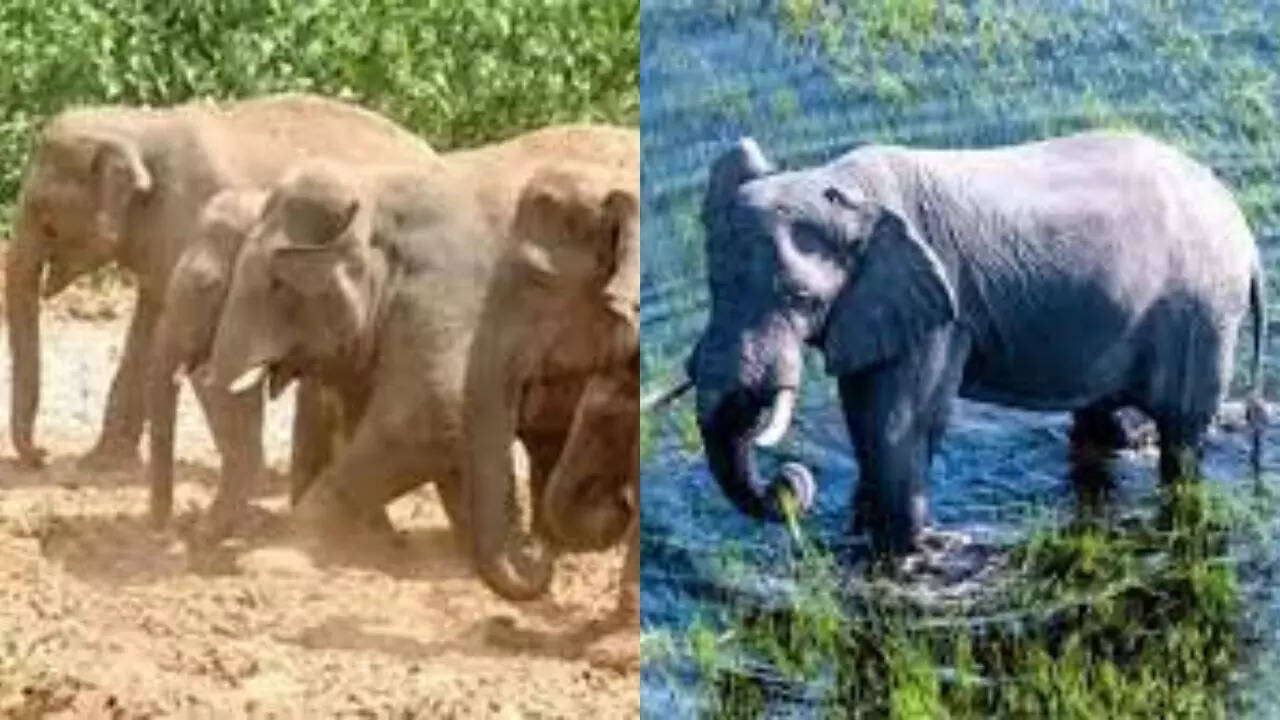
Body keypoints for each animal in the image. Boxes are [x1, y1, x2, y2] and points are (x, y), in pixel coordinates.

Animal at [7, 93, 437, 470]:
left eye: (45, 216)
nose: (41, 456)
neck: (139, 126)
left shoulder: (188, 216)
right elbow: (148, 331)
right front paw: (100, 465)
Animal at [201, 125, 639, 564]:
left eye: (277, 283)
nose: (204, 544)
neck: (375, 188)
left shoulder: (448, 293)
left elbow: (425, 412)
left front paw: (274, 555)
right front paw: (375, 545)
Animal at [687, 131, 1267, 556]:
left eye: (801, 298)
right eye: (713, 283)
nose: (790, 481)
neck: (841, 183)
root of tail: (1245, 231)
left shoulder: (941, 310)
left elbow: (899, 427)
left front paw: (908, 552)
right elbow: (865, 418)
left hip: (1200, 313)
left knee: (1182, 437)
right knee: (1101, 423)